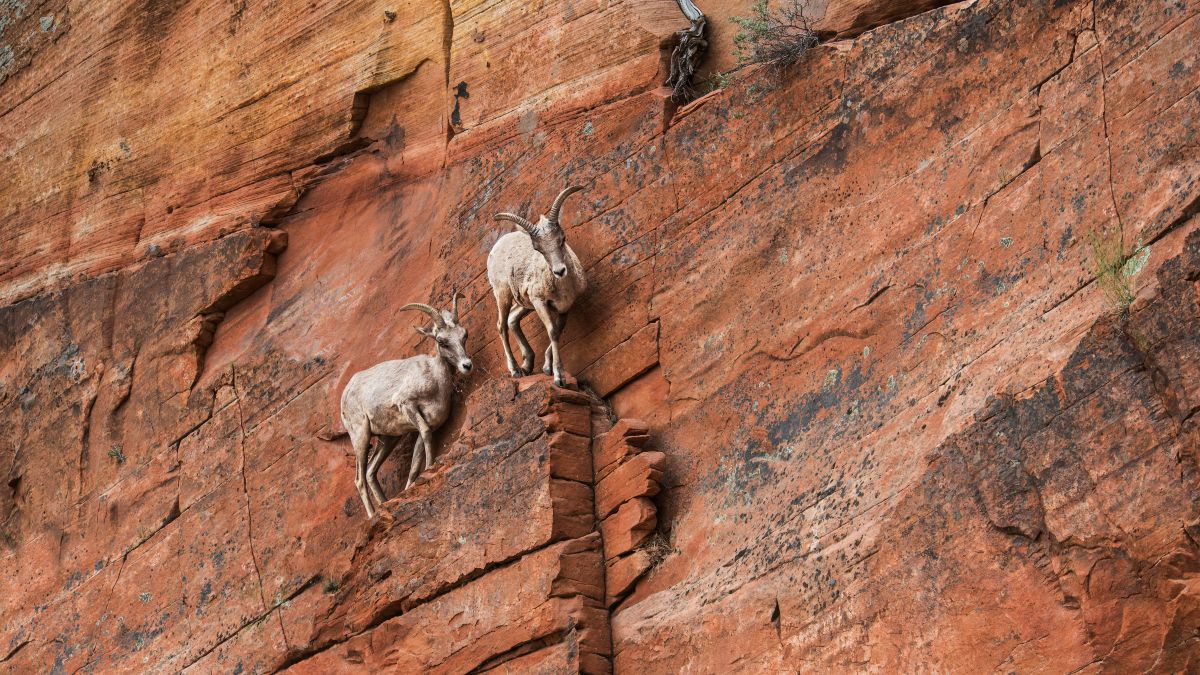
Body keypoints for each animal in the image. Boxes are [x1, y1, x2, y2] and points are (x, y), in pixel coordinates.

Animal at [339, 295, 472, 519]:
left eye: (464, 335)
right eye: (441, 341)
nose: (467, 365)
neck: (435, 380)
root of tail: (346, 392)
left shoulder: (425, 424)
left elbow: (415, 461)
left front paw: (411, 487)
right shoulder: (408, 406)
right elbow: (425, 437)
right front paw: (430, 467)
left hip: (388, 439)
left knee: (370, 472)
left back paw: (385, 505)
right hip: (360, 436)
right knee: (359, 479)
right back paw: (372, 515)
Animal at [487, 186, 588, 387]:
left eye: (562, 239)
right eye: (538, 249)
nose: (559, 271)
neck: (564, 288)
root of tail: (496, 248)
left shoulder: (564, 308)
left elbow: (557, 331)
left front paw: (547, 368)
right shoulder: (541, 302)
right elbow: (552, 332)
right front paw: (559, 378)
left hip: (525, 303)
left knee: (512, 319)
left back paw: (527, 365)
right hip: (503, 295)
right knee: (501, 325)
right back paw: (515, 370)